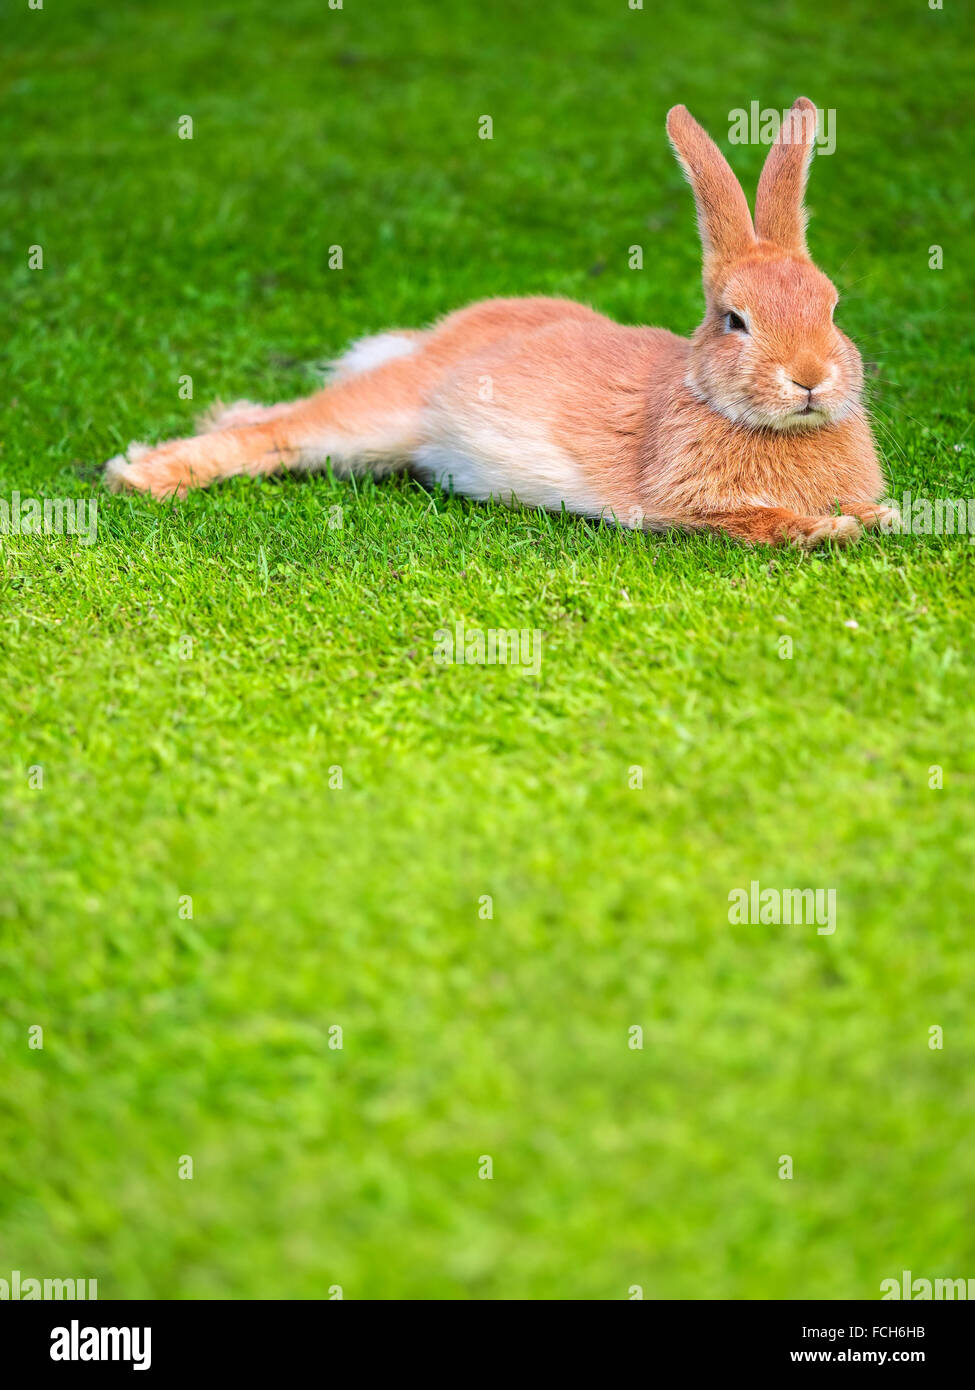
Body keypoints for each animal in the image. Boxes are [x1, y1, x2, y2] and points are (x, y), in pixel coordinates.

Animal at [105, 96, 896, 549]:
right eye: (735, 320)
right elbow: (759, 524)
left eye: (832, 308)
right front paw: (830, 528)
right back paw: (141, 476)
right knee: (275, 432)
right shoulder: (681, 503)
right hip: (384, 412)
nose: (809, 379)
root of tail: (434, 340)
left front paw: (876, 517)